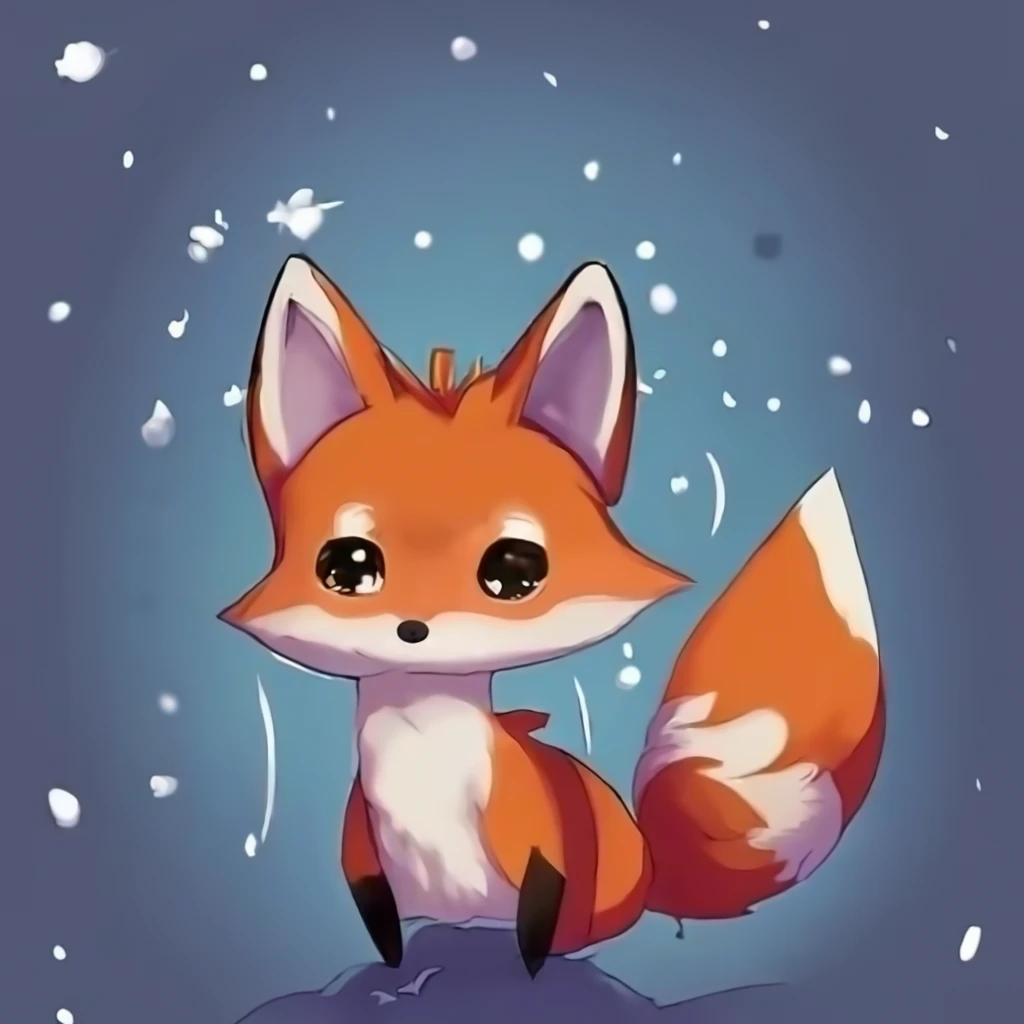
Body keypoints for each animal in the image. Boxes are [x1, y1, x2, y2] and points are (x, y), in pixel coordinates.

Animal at [219, 254, 885, 979]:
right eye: (348, 567)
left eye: (515, 571)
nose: (413, 630)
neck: (425, 761)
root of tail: (652, 865)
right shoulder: (363, 861)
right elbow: (384, 934)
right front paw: (397, 976)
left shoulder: (541, 849)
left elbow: (535, 932)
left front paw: (521, 980)